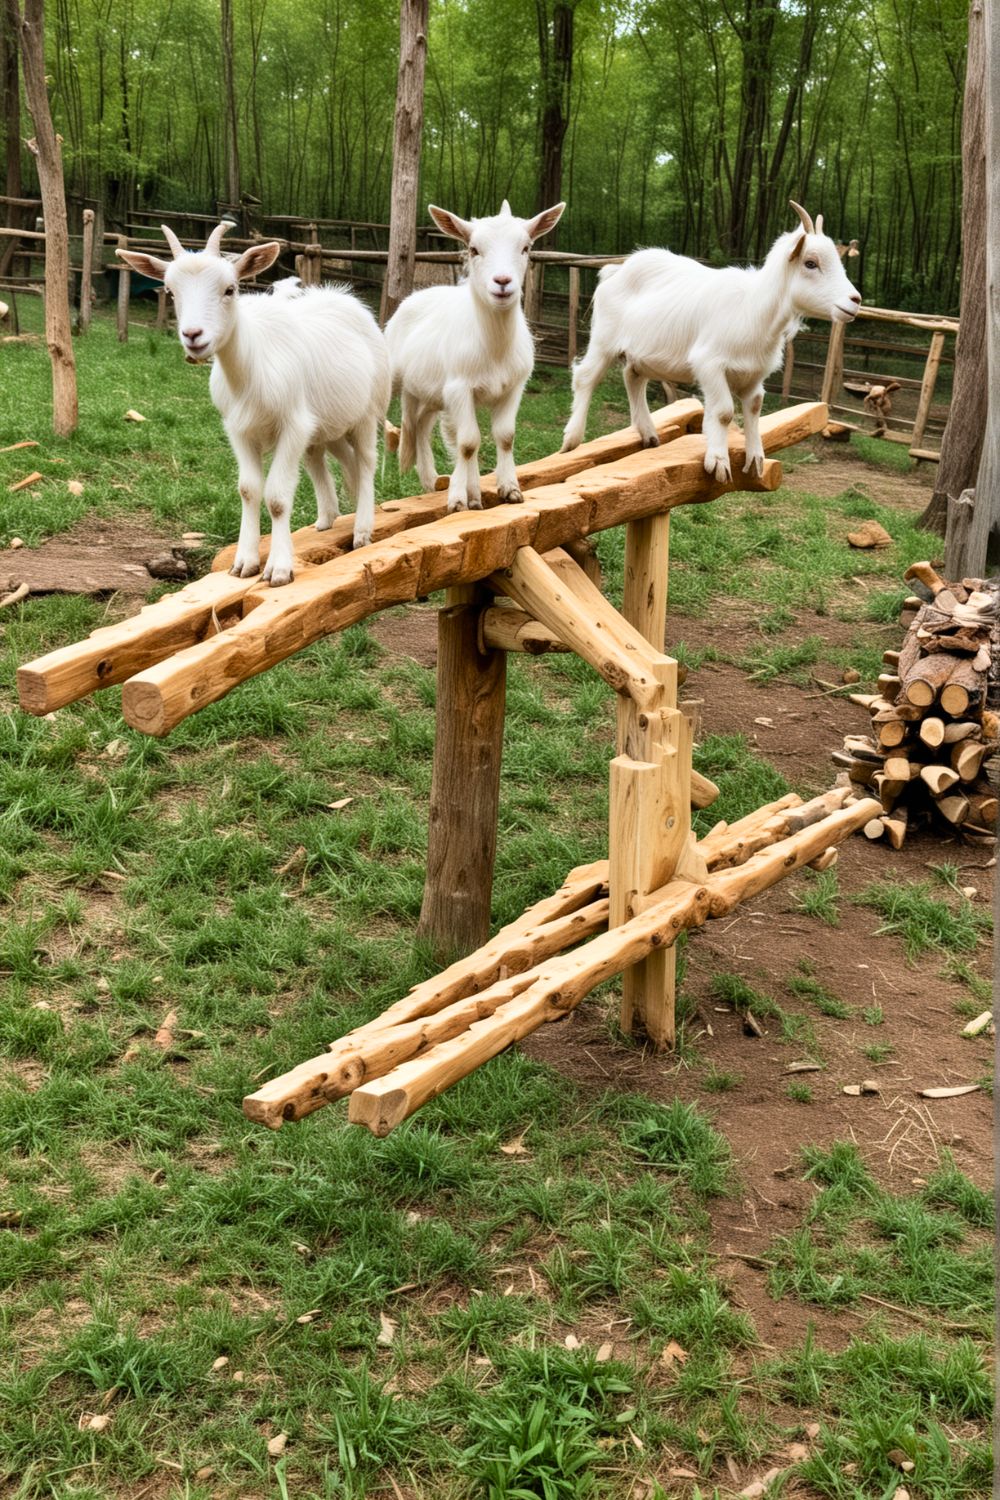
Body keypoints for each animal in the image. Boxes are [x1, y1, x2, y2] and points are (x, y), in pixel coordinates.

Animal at [117, 224, 390, 584]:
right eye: (171, 292)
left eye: (230, 289)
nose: (193, 335)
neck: (251, 368)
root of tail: (344, 298)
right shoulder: (240, 429)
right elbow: (248, 489)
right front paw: (244, 562)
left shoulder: (293, 425)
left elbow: (276, 498)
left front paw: (279, 569)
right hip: (327, 423)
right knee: (328, 459)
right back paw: (328, 518)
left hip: (368, 411)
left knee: (367, 461)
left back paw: (362, 529)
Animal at [385, 199, 564, 513]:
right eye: (473, 249)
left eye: (526, 248)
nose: (502, 281)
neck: (494, 348)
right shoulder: (459, 388)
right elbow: (469, 443)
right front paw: (458, 500)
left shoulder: (513, 388)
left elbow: (504, 437)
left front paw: (509, 489)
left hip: (431, 392)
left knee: (421, 426)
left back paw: (433, 480)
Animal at [561, 203, 861, 482]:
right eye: (810, 263)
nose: (855, 300)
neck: (753, 309)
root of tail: (615, 271)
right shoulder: (709, 364)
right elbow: (724, 412)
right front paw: (718, 461)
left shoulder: (755, 375)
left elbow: (755, 407)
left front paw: (756, 459)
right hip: (604, 339)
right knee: (586, 377)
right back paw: (572, 439)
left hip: (643, 353)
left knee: (632, 376)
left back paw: (648, 434)